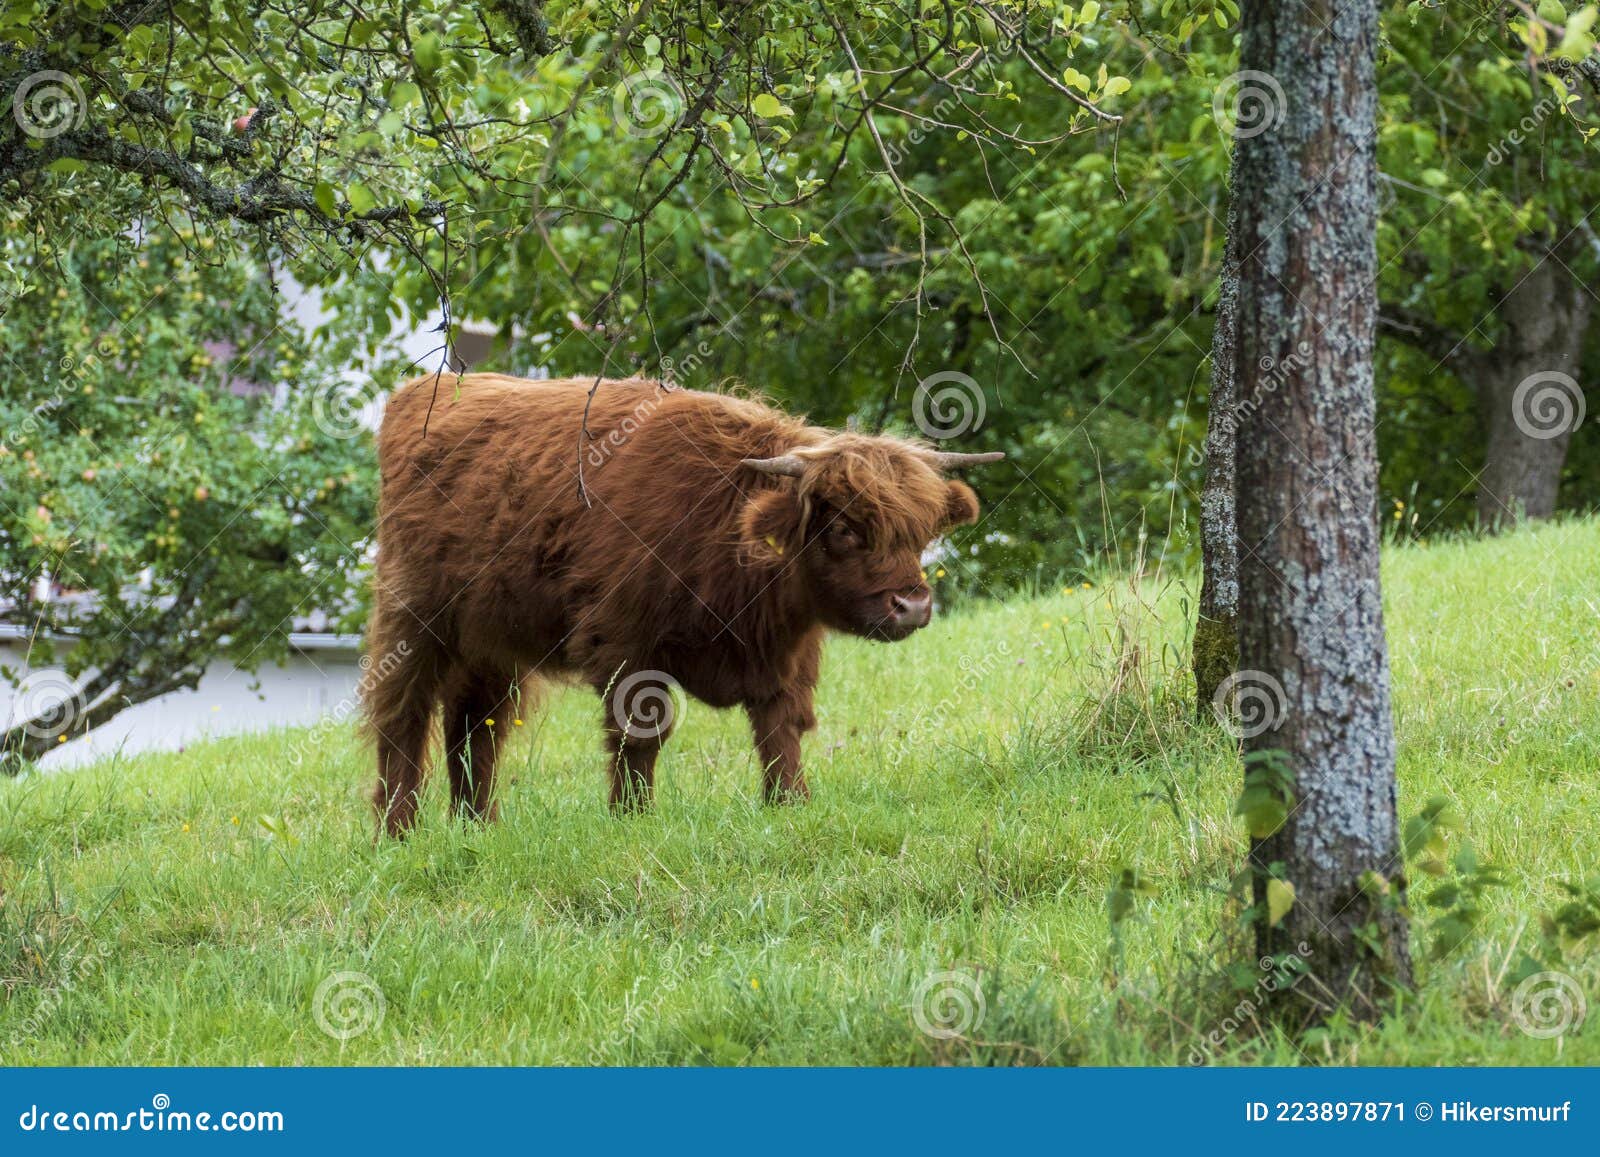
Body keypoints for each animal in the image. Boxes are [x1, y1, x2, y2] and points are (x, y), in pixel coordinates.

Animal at [363, 373, 1003, 835]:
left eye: (919, 533)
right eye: (844, 530)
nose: (911, 605)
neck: (728, 525)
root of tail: (423, 392)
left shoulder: (787, 654)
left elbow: (782, 728)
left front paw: (789, 805)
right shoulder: (624, 644)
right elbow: (640, 734)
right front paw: (632, 818)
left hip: (490, 642)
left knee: (476, 727)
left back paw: (477, 827)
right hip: (412, 620)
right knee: (403, 718)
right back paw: (399, 831)